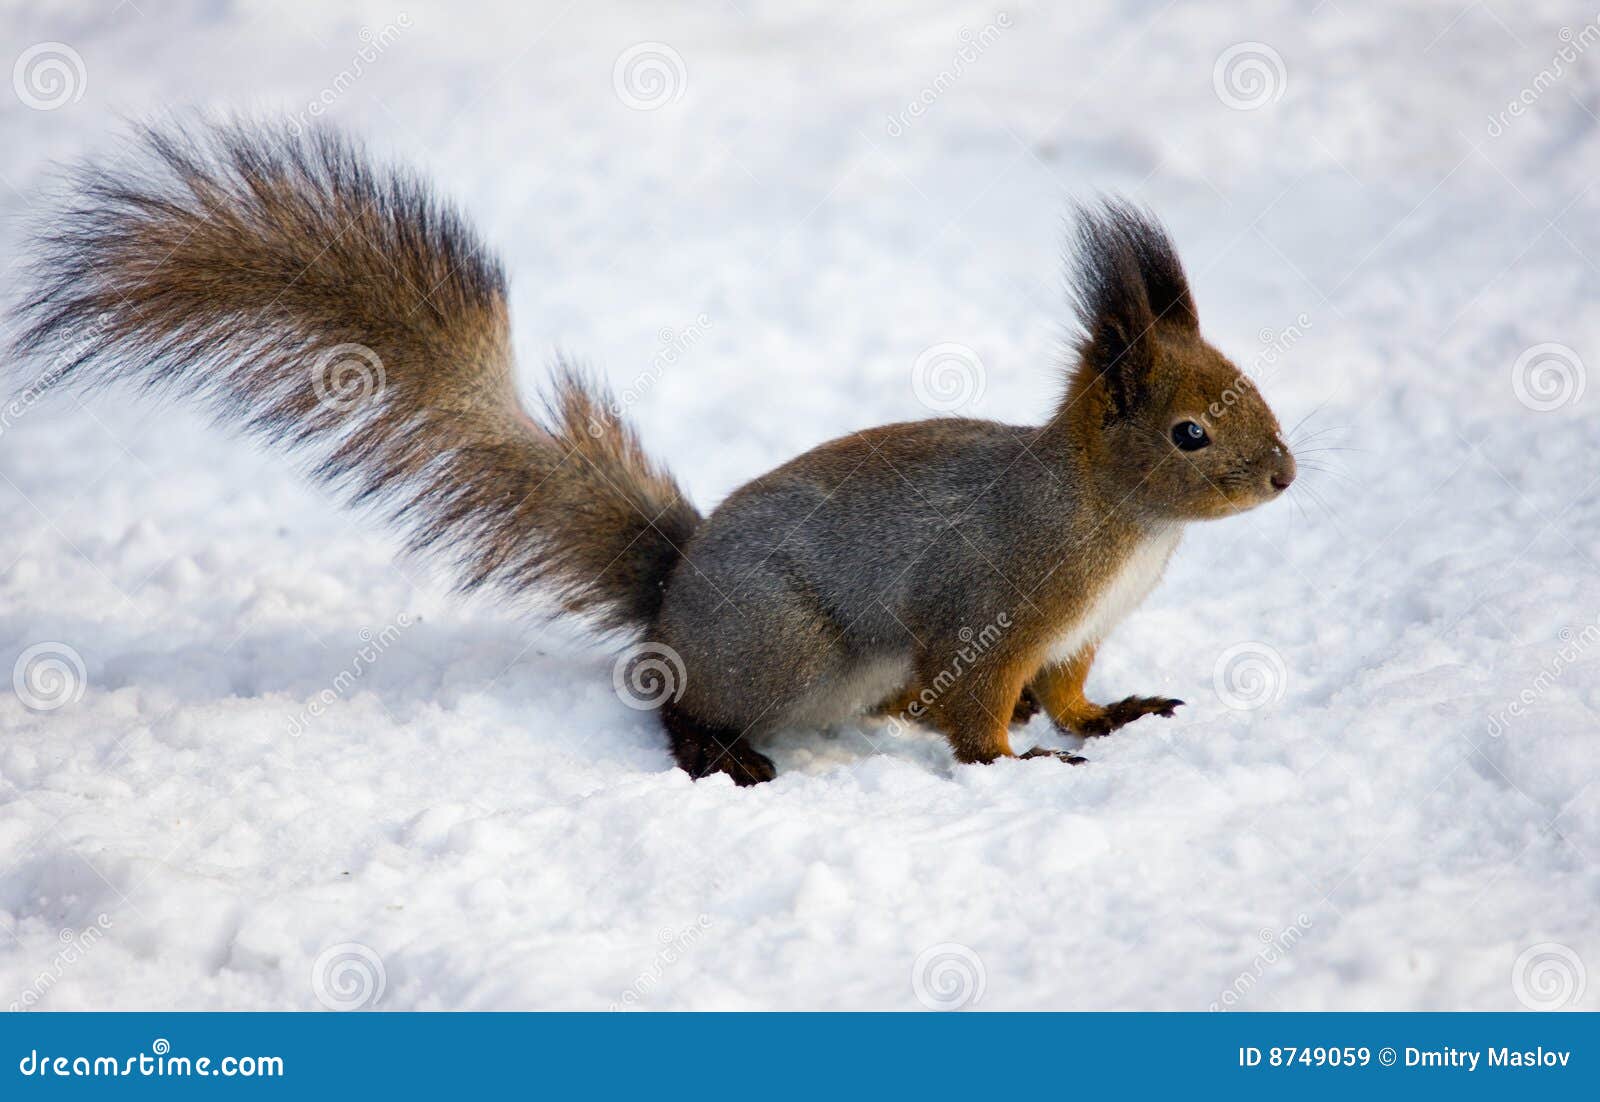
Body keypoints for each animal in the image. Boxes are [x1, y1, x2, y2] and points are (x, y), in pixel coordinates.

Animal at [10, 120, 1295, 786]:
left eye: (1253, 391)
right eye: (1188, 432)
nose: (1284, 476)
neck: (1120, 521)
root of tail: (672, 601)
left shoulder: (1071, 634)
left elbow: (1067, 693)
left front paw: (1108, 719)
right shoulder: (995, 605)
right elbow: (975, 710)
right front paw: (1015, 765)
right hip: (785, 649)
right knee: (670, 700)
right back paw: (717, 753)